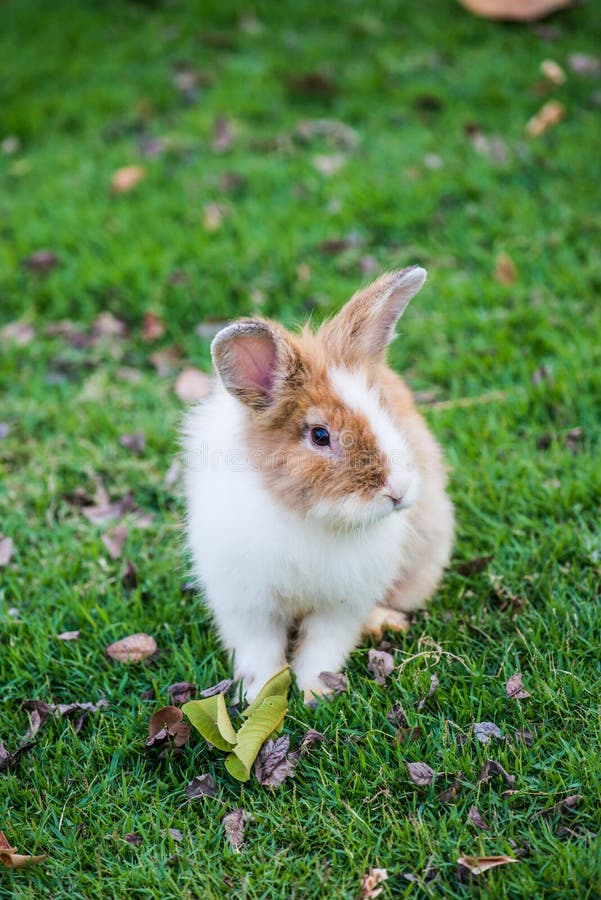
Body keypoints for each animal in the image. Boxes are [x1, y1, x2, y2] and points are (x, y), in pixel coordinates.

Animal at [183, 267, 454, 701]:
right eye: (320, 436)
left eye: (384, 414)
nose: (397, 490)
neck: (307, 516)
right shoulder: (248, 605)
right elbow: (260, 653)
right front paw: (260, 697)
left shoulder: (341, 605)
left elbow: (321, 648)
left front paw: (315, 694)